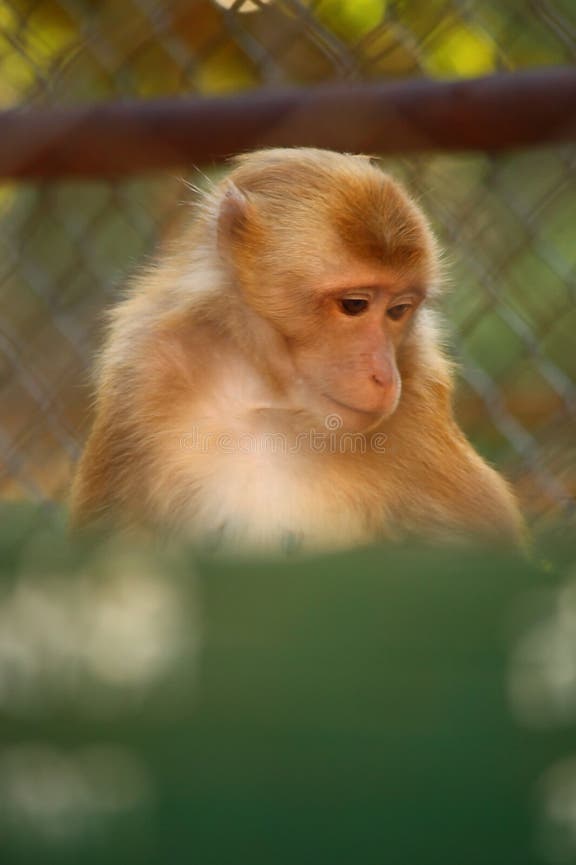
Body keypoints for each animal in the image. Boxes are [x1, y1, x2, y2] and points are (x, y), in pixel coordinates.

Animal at [70, 147, 524, 553]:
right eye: (354, 305)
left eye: (398, 310)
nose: (385, 376)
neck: (269, 399)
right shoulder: (143, 369)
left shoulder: (419, 392)